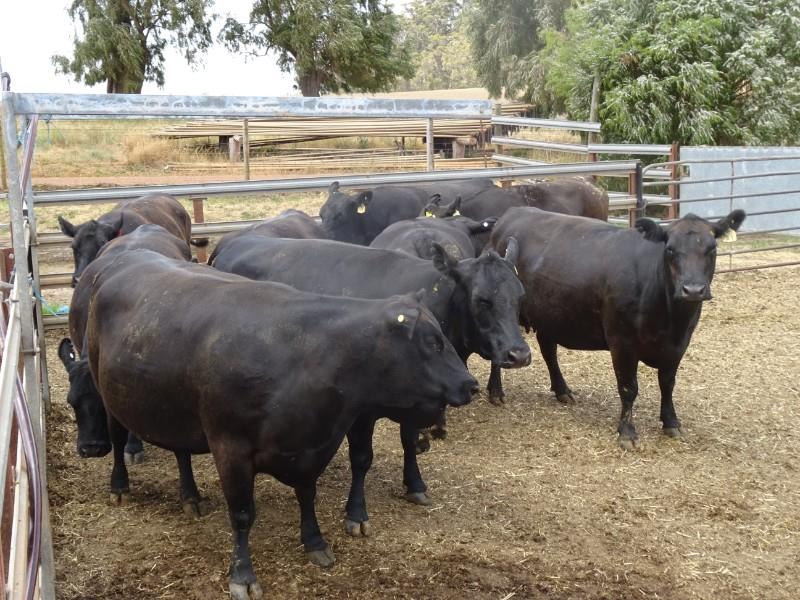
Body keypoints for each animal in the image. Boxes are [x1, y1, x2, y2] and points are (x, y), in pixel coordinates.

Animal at [81, 248, 477, 598]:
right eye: (431, 341)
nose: (470, 384)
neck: (308, 356)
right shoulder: (231, 449)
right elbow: (242, 515)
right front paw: (242, 576)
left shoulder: (312, 447)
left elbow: (307, 494)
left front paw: (315, 541)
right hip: (107, 395)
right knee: (118, 438)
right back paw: (119, 486)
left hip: (173, 411)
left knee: (181, 452)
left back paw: (190, 497)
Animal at [210, 235, 529, 525]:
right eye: (482, 300)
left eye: (519, 296)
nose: (520, 354)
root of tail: (235, 240)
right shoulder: (360, 412)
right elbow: (362, 458)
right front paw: (356, 512)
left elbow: (409, 441)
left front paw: (415, 485)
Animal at [489, 207, 746, 448]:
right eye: (670, 250)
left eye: (712, 249)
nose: (693, 289)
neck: (671, 321)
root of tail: (513, 212)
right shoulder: (622, 342)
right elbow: (628, 388)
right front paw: (627, 432)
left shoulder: (679, 345)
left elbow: (667, 383)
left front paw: (671, 422)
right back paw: (496, 392)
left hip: (549, 314)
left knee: (549, 350)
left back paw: (562, 390)